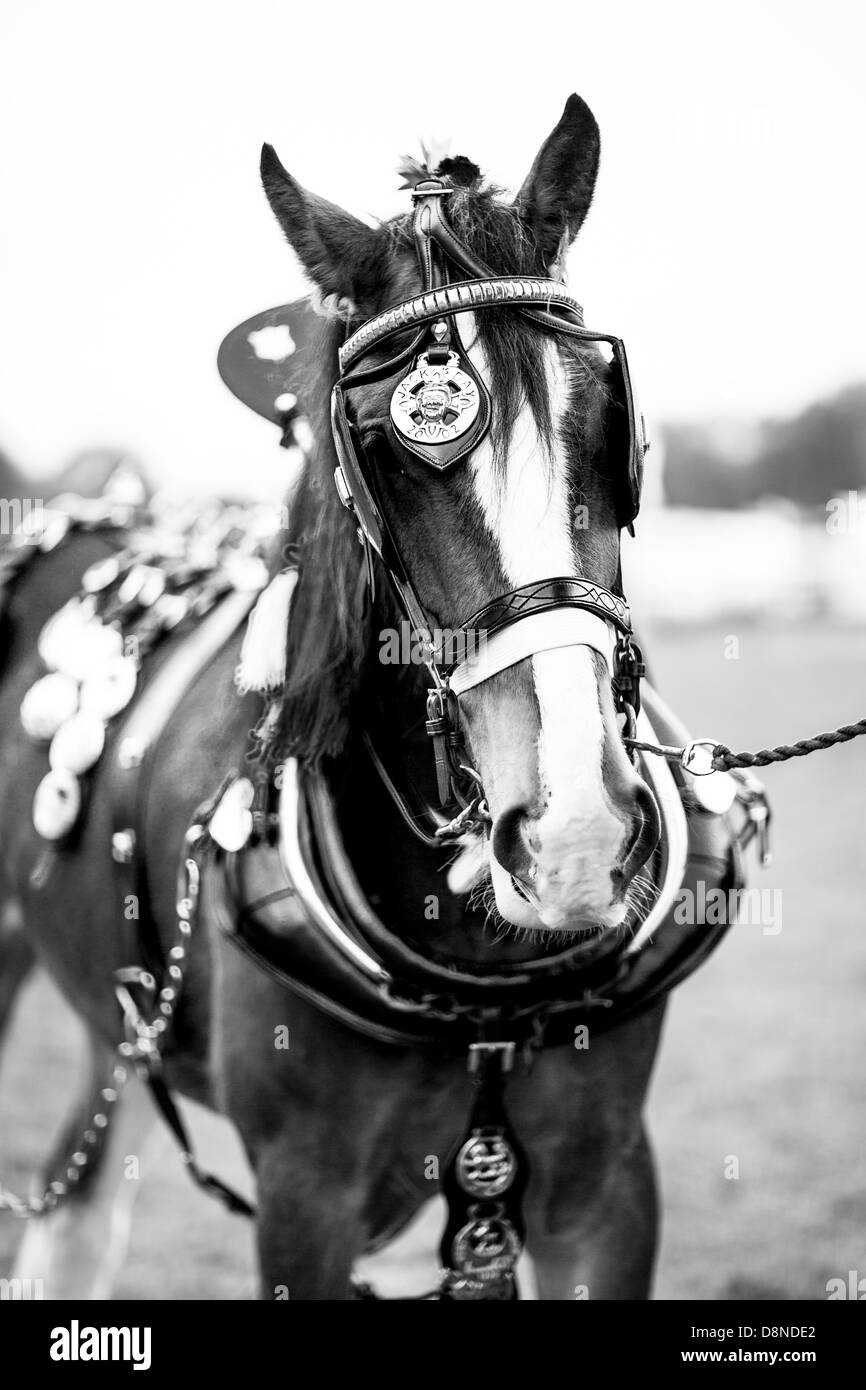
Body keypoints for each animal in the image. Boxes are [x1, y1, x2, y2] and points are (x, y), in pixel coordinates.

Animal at [0, 94, 742, 1300]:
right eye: (384, 448)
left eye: (605, 419)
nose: (577, 835)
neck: (483, 979)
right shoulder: (305, 1201)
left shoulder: (603, 1191)